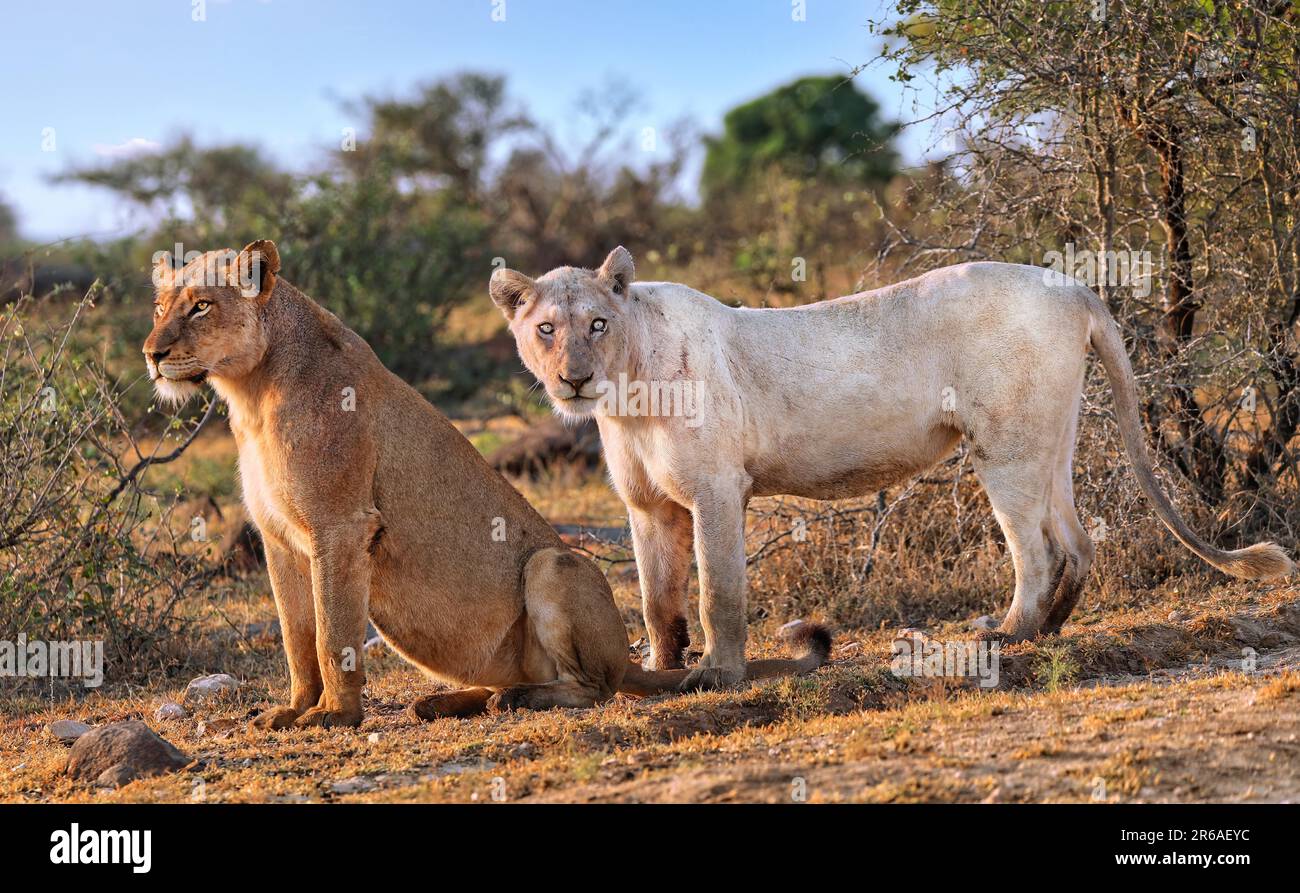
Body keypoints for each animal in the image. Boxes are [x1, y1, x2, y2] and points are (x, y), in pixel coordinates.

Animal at [142, 241, 830, 728]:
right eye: (160, 306)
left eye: (201, 305)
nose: (152, 353)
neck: (251, 394)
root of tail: (625, 654)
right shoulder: (281, 539)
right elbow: (296, 636)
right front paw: (294, 709)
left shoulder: (341, 527)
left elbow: (334, 632)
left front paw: (334, 716)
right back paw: (448, 702)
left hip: (554, 565)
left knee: (597, 686)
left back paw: (519, 700)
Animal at [490, 248, 1293, 691]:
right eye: (545, 328)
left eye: (597, 323)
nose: (572, 379)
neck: (628, 394)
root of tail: (1073, 286)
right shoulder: (646, 507)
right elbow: (659, 601)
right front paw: (658, 670)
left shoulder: (718, 491)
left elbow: (719, 590)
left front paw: (718, 674)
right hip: (1051, 438)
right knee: (1076, 539)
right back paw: (1053, 629)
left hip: (1005, 447)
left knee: (1035, 549)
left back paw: (1007, 633)